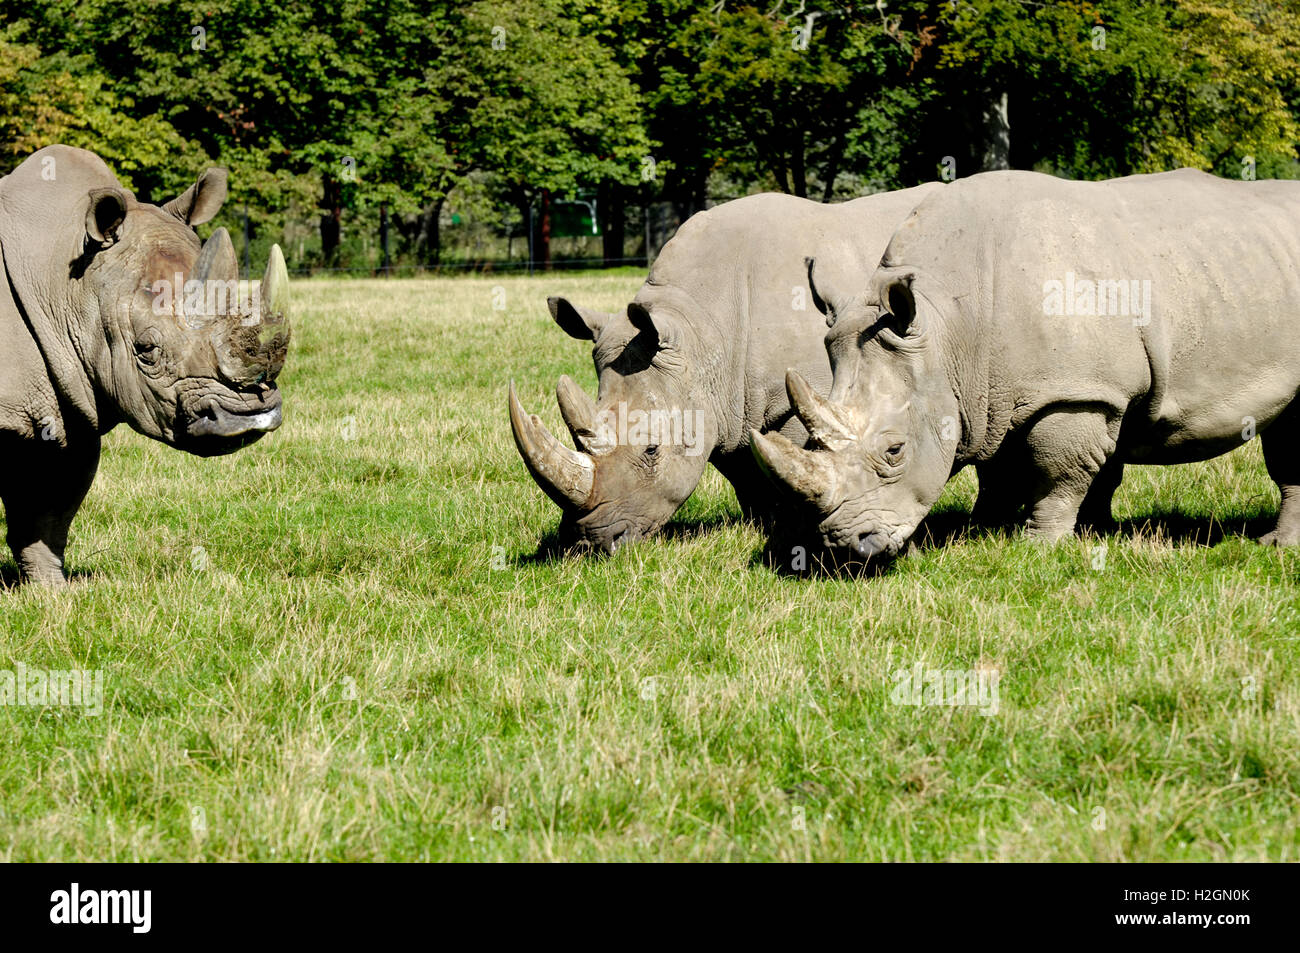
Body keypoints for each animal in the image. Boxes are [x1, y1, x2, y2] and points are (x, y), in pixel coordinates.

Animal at [0, 145, 290, 585]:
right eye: (146, 350)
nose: (250, 415)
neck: (65, 283)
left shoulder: (74, 398)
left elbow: (47, 512)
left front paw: (53, 593)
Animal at [508, 185, 941, 553]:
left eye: (652, 450)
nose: (590, 542)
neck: (699, 331)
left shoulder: (805, 398)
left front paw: (792, 530)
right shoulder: (724, 401)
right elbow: (745, 472)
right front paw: (760, 524)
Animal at [752, 168, 1300, 561]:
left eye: (894, 451)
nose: (844, 547)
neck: (947, 328)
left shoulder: (1075, 393)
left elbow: (1058, 472)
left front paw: (1039, 546)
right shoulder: (986, 392)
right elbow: (996, 470)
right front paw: (980, 532)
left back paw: (1276, 549)